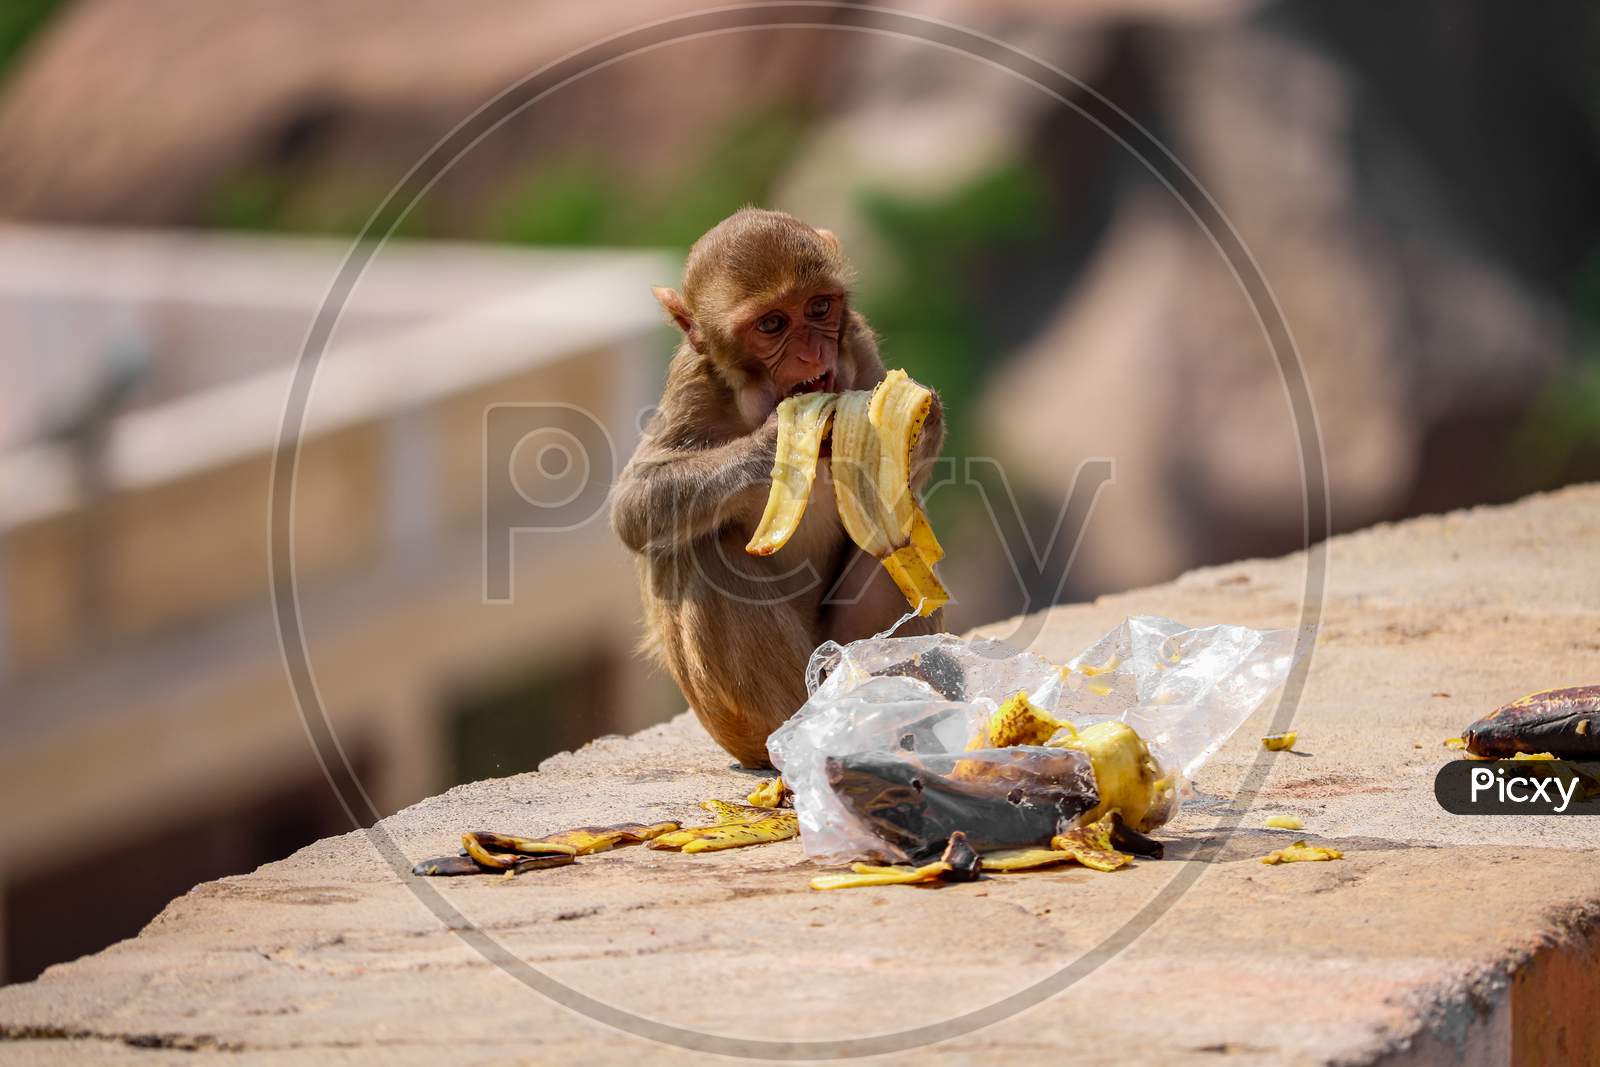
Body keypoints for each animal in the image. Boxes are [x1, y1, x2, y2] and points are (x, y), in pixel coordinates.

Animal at [610, 208, 945, 767]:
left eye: (819, 307)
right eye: (772, 324)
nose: (811, 354)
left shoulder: (856, 341)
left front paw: (921, 427)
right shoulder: (692, 382)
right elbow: (633, 506)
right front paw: (775, 443)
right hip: (739, 725)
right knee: (696, 550)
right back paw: (804, 738)